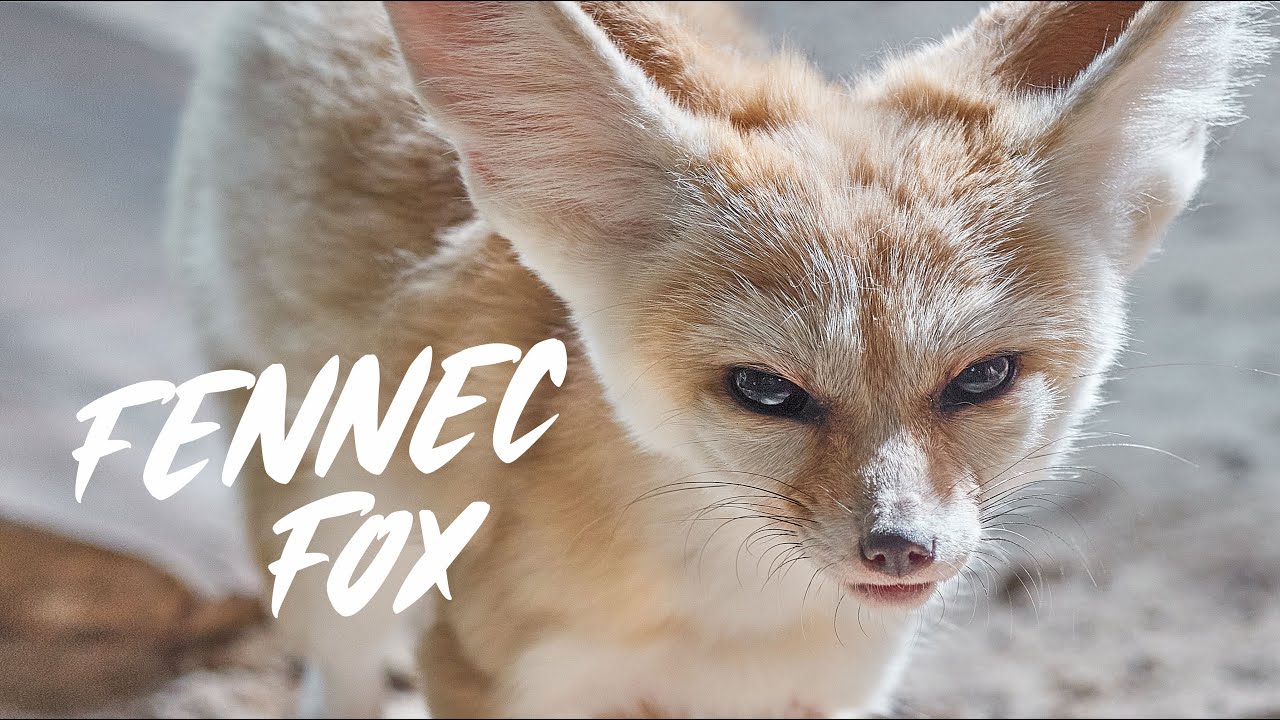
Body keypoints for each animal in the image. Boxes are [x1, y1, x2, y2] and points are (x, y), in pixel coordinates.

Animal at [164, 1, 1274, 717]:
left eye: (981, 379)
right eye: (764, 391)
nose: (900, 548)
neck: (732, 623)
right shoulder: (481, 666)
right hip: (325, 548)